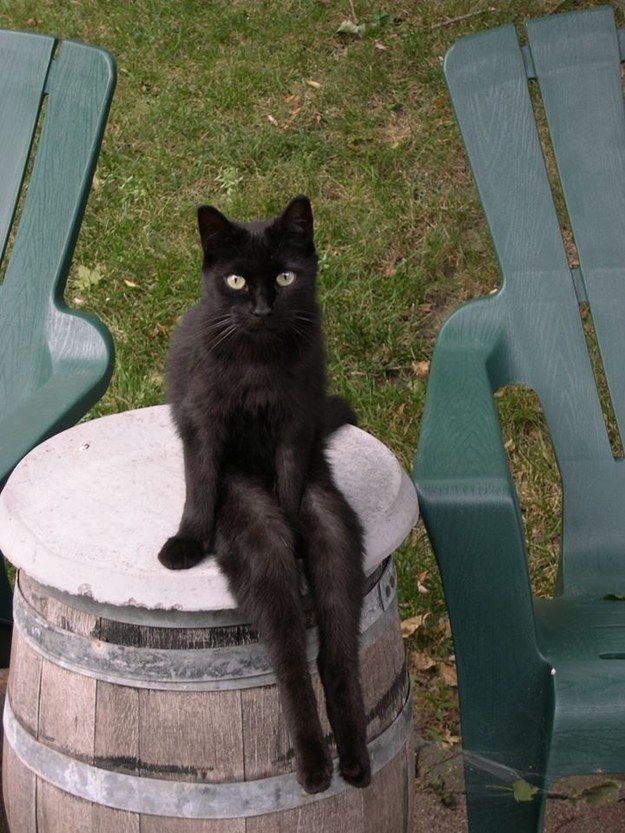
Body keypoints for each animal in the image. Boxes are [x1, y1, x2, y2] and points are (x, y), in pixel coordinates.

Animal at [158, 195, 370, 792]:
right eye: (235, 280)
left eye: (284, 276)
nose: (260, 308)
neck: (256, 357)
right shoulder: (205, 422)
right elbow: (200, 479)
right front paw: (187, 542)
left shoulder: (296, 423)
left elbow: (290, 476)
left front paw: (291, 510)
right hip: (252, 526)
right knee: (289, 655)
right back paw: (316, 766)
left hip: (333, 520)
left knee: (335, 650)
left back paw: (350, 760)